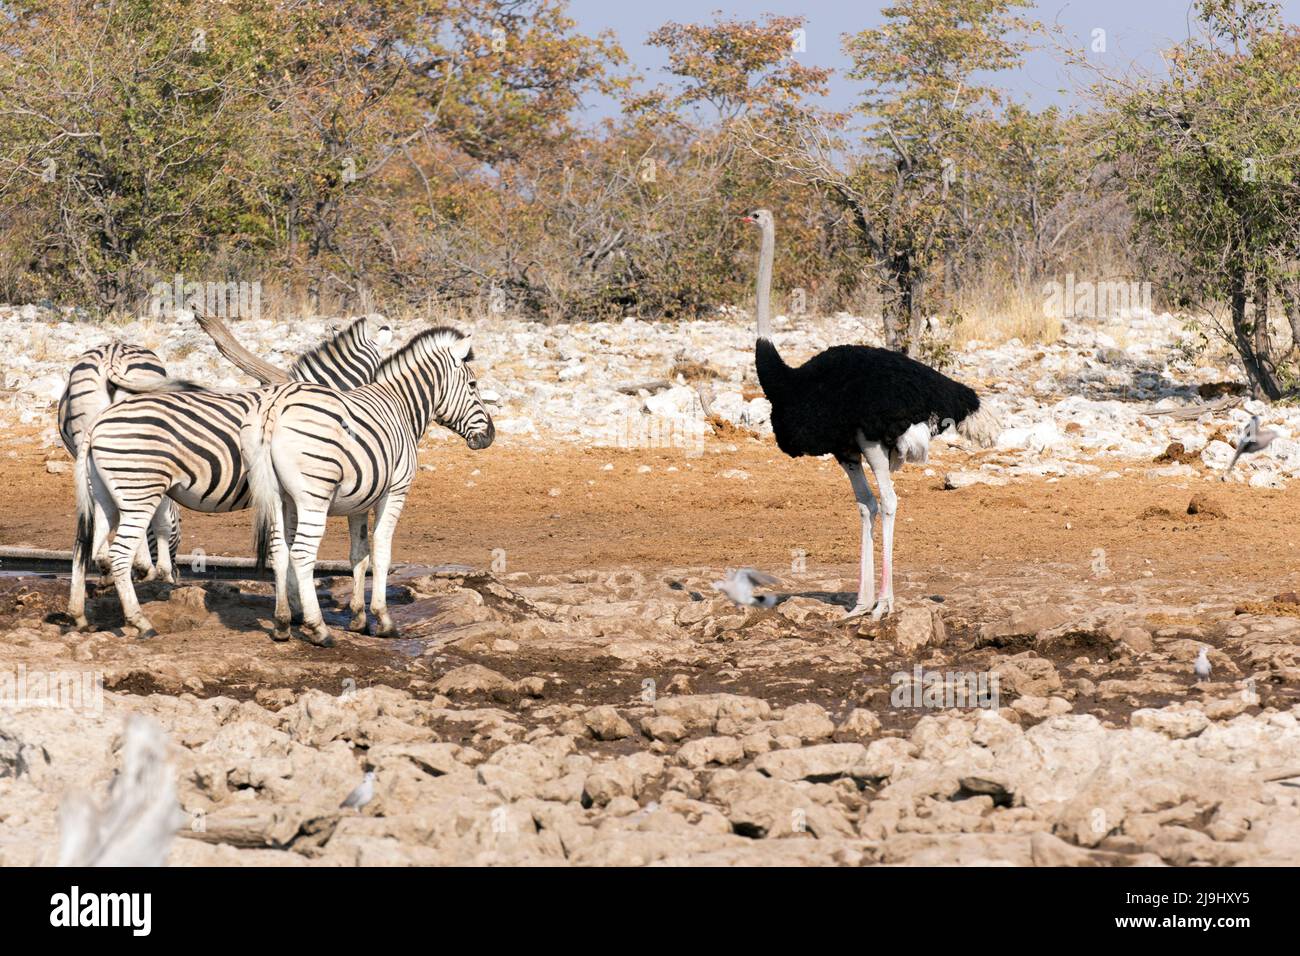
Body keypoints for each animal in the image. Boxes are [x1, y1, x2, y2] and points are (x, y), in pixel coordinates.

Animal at [57, 342, 182, 581]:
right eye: (179, 522)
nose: (178, 574)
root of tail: (113, 352)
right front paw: (150, 568)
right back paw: (142, 566)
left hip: (88, 430)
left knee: (94, 495)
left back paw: (104, 562)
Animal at [242, 326, 493, 647]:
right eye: (473, 384)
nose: (490, 435)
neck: (402, 406)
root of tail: (274, 407)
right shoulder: (395, 490)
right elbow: (382, 552)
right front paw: (383, 620)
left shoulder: (358, 501)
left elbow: (359, 555)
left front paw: (359, 619)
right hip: (314, 496)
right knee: (301, 554)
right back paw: (318, 629)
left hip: (275, 495)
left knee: (279, 550)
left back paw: (282, 624)